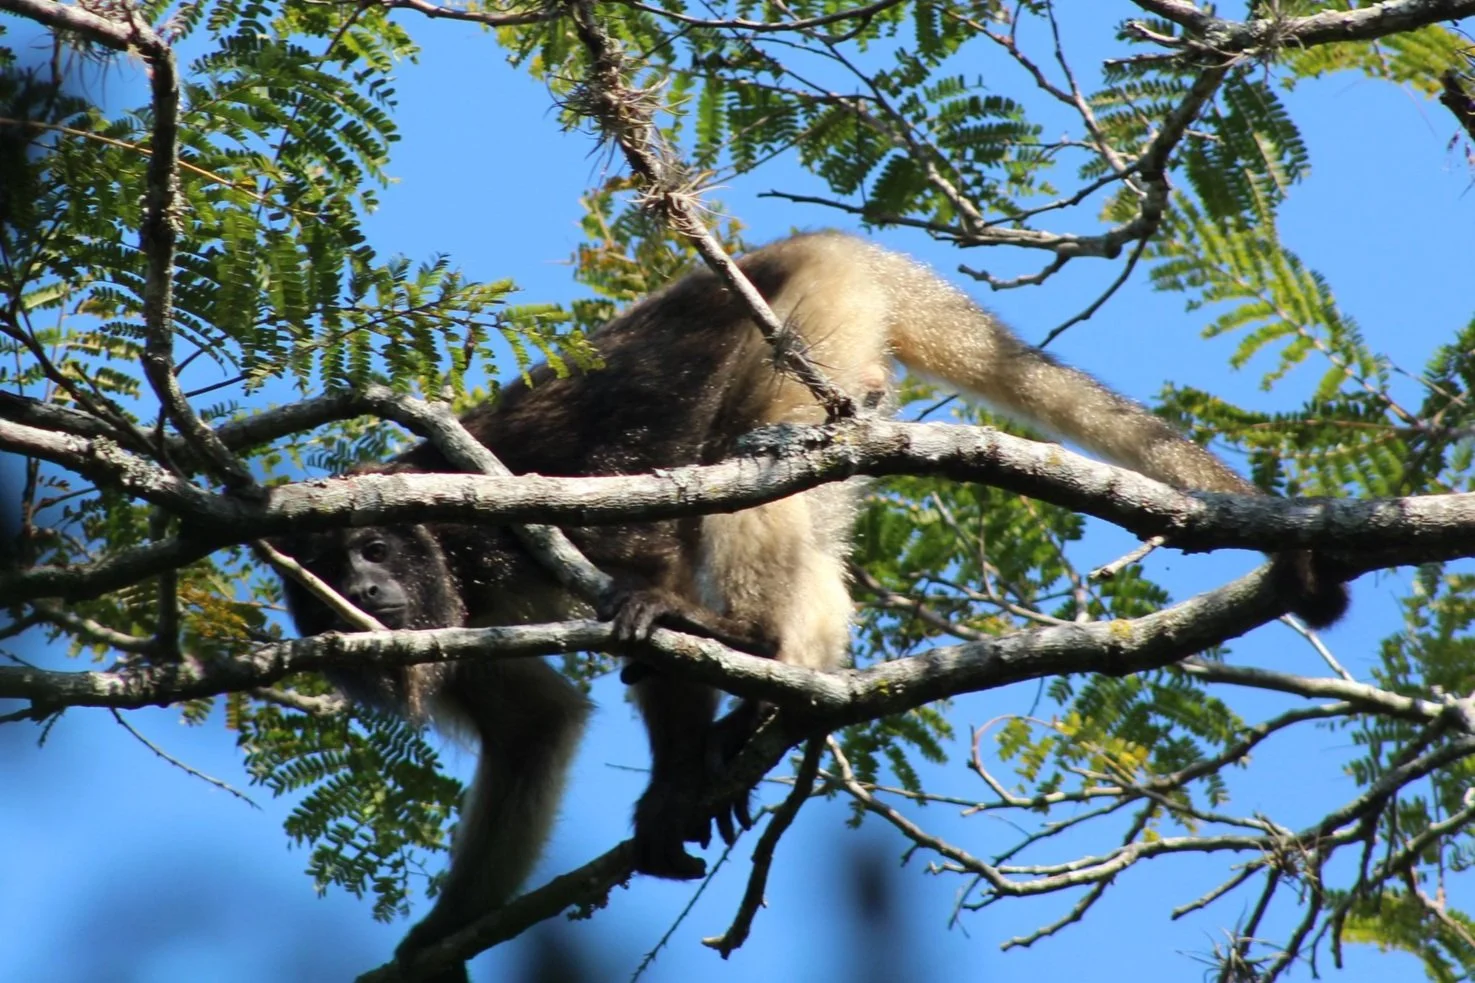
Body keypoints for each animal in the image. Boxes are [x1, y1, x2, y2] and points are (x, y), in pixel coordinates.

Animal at [279, 231, 1349, 937]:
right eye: (322, 573)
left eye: (369, 546)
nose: (361, 583)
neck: (444, 553)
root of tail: (818, 241)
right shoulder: (451, 635)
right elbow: (536, 724)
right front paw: (433, 946)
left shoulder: (493, 514)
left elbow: (644, 550)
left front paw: (671, 763)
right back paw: (801, 679)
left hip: (814, 326)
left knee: (749, 455)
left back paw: (752, 646)